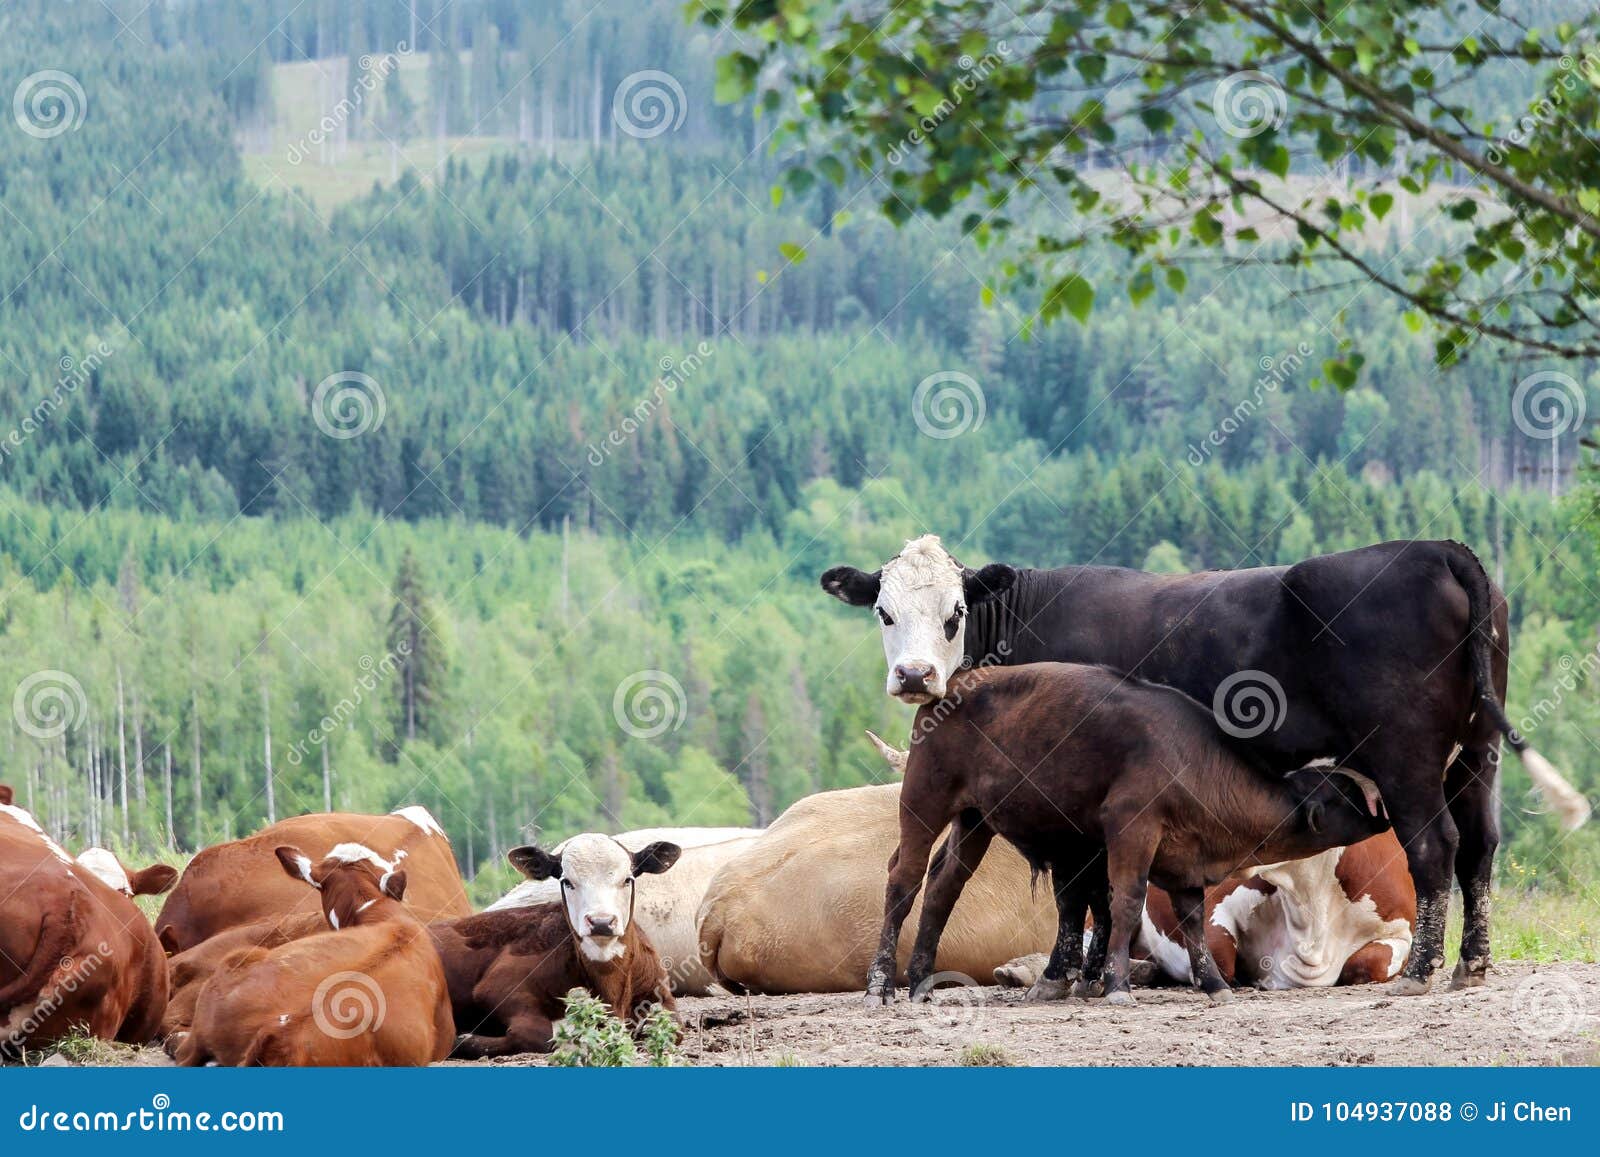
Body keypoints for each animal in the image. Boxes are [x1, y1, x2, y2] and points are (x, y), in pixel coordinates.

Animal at [430, 835, 679, 1058]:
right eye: (567, 882)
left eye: (627, 879)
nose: (601, 921)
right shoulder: (496, 986)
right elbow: (538, 1035)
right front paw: (462, 1039)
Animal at [863, 663, 1393, 1006]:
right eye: (1347, 798)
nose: (1385, 810)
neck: (1189, 757)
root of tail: (951, 683)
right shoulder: (1132, 830)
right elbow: (1124, 902)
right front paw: (1117, 986)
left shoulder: (1184, 860)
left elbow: (1191, 918)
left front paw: (1215, 985)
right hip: (923, 803)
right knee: (903, 879)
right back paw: (880, 985)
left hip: (973, 821)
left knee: (943, 886)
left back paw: (922, 981)